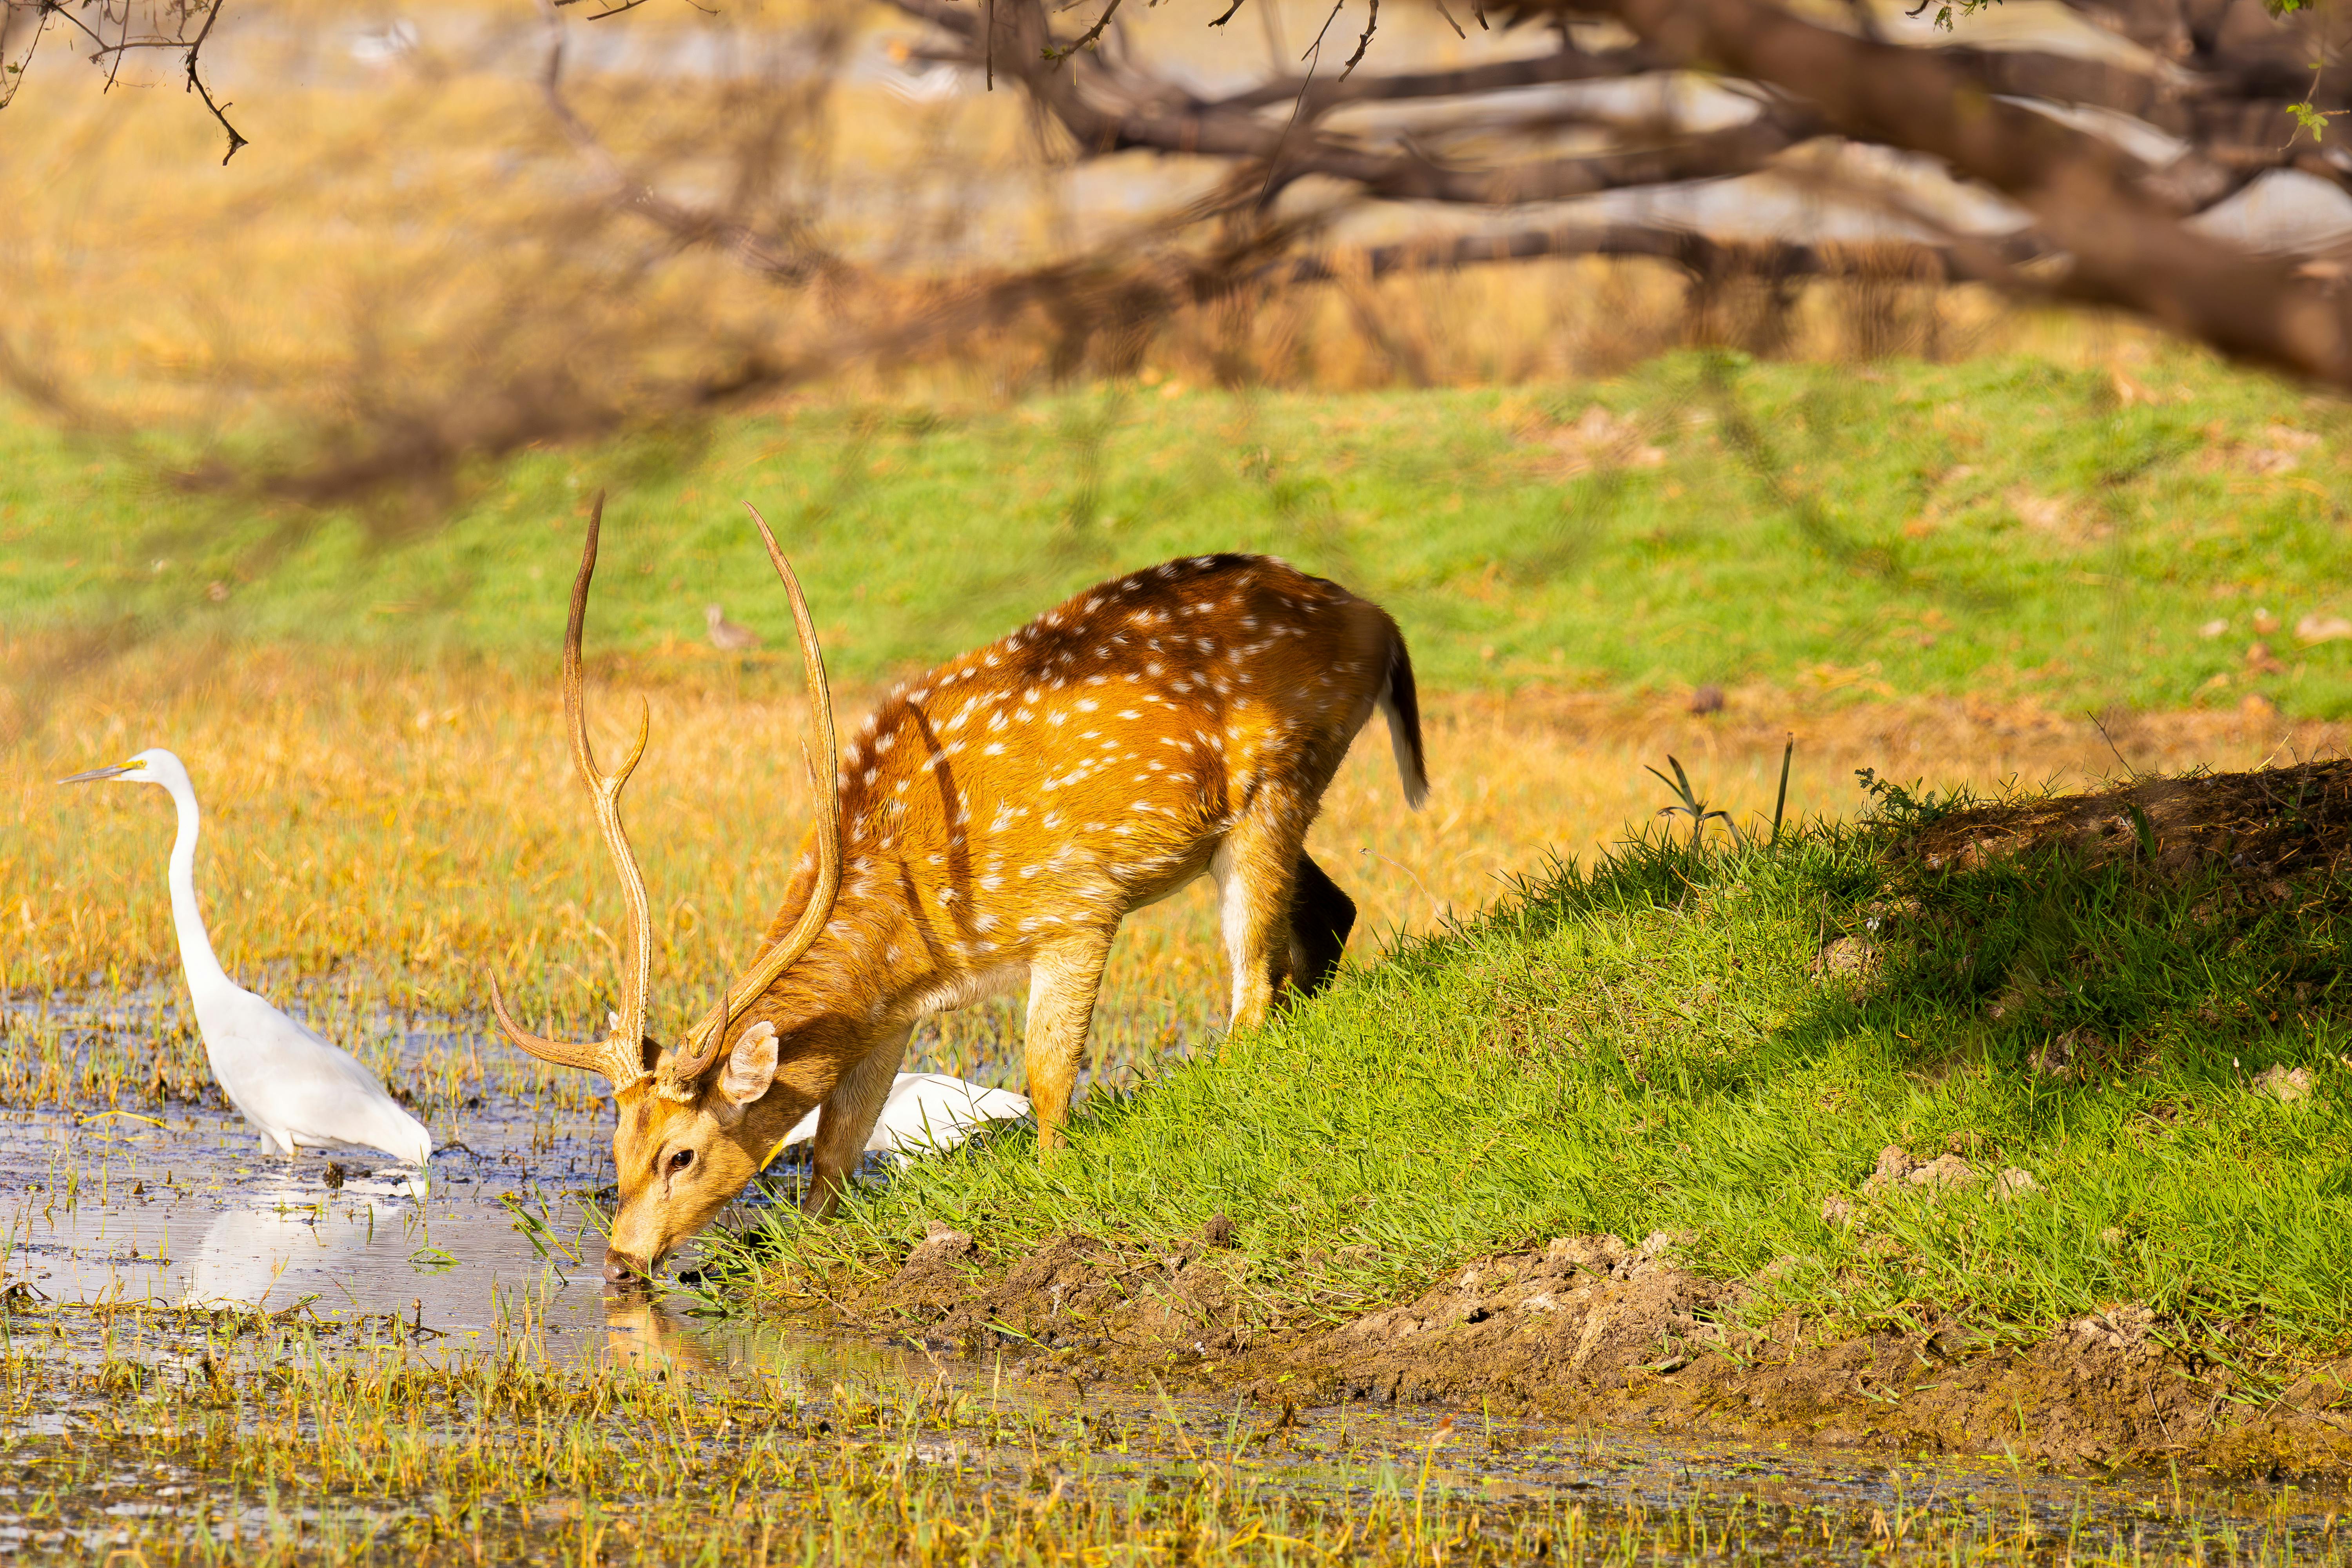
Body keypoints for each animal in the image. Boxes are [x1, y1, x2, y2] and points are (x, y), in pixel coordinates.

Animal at [489, 497, 1429, 1284]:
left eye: (680, 1154)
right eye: (616, 1144)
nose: (620, 1263)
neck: (918, 928)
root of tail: (1382, 622)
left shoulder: (1077, 907)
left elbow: (1047, 1075)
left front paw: (1051, 1190)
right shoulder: (890, 1014)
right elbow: (838, 1143)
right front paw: (813, 1234)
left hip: (1279, 782)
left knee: (1254, 985)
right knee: (1332, 913)